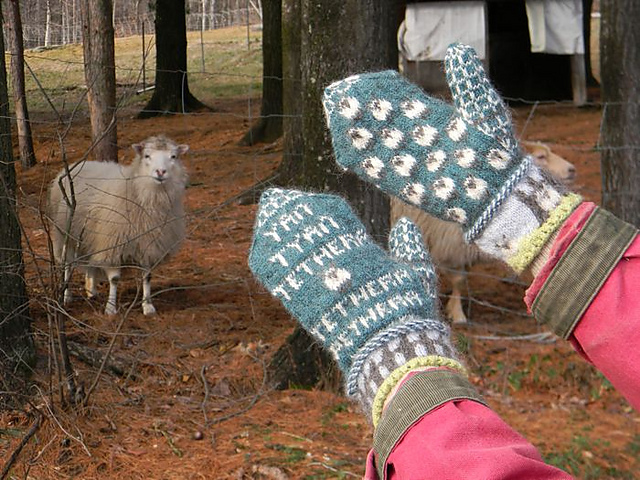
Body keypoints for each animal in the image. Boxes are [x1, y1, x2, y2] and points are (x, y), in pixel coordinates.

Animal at [48, 135, 189, 316]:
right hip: (65, 233)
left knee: (90, 264)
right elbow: (114, 279)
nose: (160, 172)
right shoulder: (113, 243)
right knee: (67, 264)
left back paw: (92, 291)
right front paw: (110, 308)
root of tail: (78, 164)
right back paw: (66, 295)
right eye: (147, 156)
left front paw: (148, 306)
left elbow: (147, 277)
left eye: (173, 156)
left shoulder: (148, 244)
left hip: (89, 234)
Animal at [390, 141, 575, 324]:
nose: (572, 169)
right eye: (541, 156)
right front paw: (457, 313)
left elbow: (461, 280)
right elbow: (459, 279)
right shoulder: (447, 247)